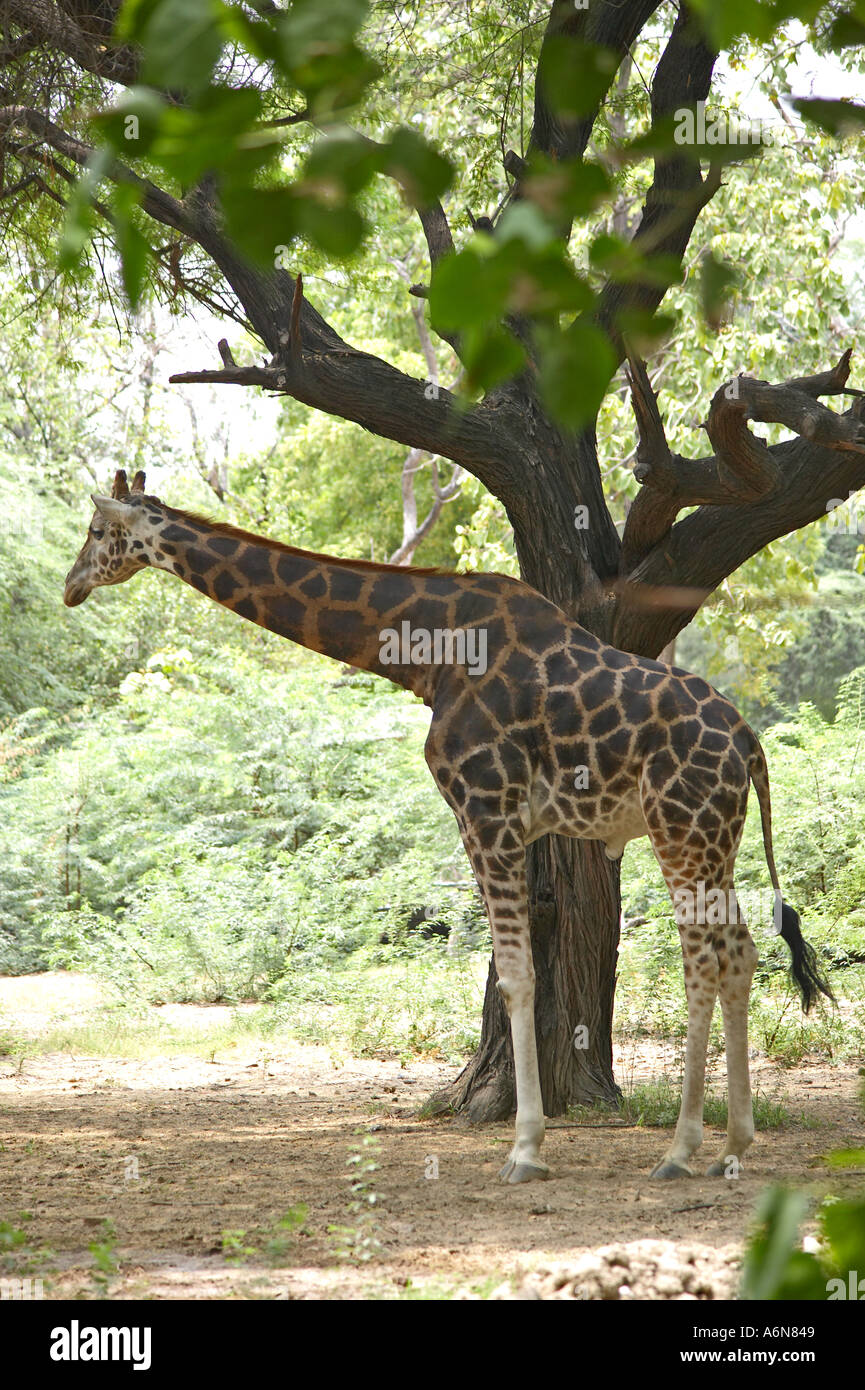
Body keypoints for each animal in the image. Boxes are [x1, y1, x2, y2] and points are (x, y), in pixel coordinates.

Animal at [64, 469, 833, 1182]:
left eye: (98, 531)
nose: (70, 587)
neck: (423, 657)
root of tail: (749, 743)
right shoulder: (516, 824)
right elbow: (519, 972)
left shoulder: (483, 809)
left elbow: (517, 977)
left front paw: (525, 1150)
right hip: (714, 837)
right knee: (738, 952)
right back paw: (731, 1145)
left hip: (682, 830)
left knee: (701, 959)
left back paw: (679, 1150)